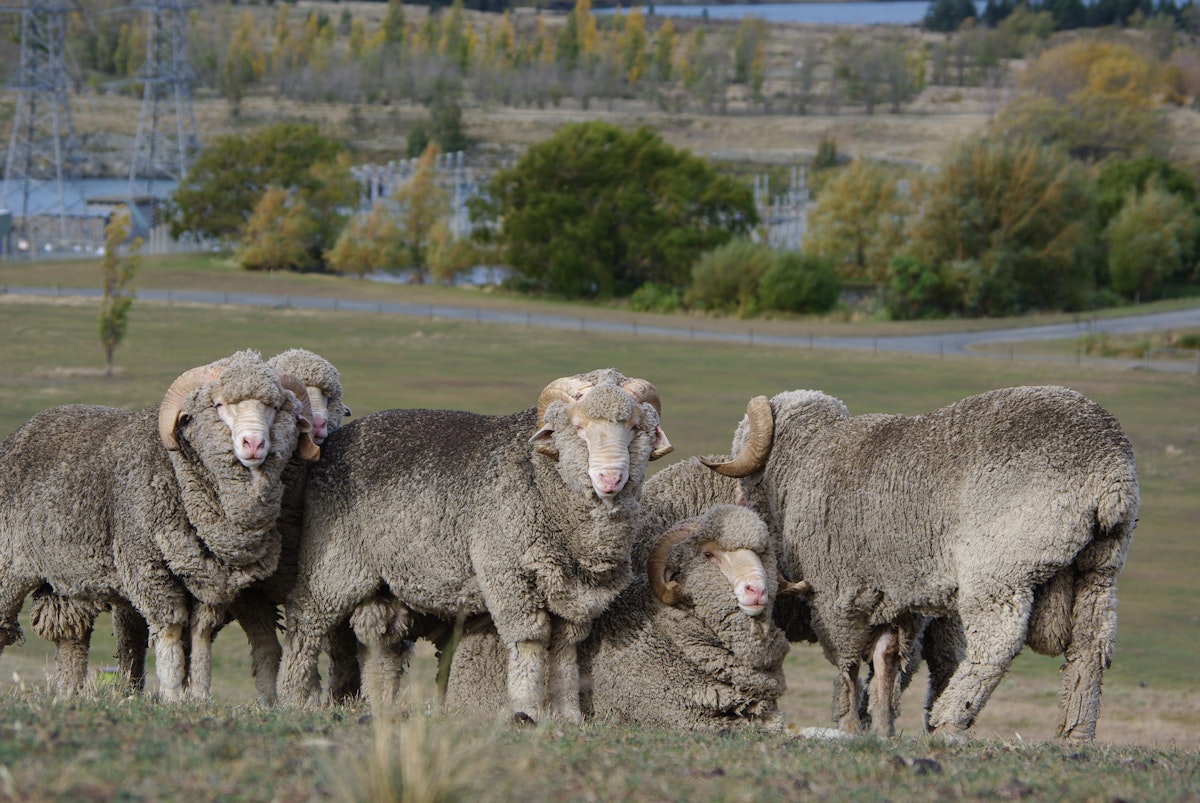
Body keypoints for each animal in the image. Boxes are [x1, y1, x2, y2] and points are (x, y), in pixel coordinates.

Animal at [0, 350, 318, 701]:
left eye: (275, 407)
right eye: (219, 405)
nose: (253, 444)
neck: (177, 471)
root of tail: (20, 432)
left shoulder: (210, 582)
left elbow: (200, 636)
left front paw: (198, 696)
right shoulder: (148, 570)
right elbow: (170, 632)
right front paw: (172, 694)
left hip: (64, 576)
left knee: (71, 638)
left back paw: (68, 694)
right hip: (8, 565)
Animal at [276, 368, 673, 723]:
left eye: (635, 428)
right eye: (578, 428)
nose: (610, 478)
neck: (543, 480)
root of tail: (335, 442)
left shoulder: (572, 593)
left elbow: (565, 650)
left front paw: (567, 715)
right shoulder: (508, 575)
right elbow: (529, 643)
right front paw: (527, 710)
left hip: (384, 580)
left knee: (379, 642)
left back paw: (381, 704)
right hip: (333, 564)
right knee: (305, 622)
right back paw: (295, 697)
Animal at [701, 386, 1139, 742]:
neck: (808, 460)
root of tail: (1109, 474)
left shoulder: (835, 596)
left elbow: (847, 666)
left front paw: (849, 724)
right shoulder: (896, 600)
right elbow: (886, 663)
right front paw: (881, 728)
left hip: (1000, 568)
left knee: (996, 645)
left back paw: (950, 720)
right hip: (1100, 567)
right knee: (1091, 646)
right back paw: (1074, 734)